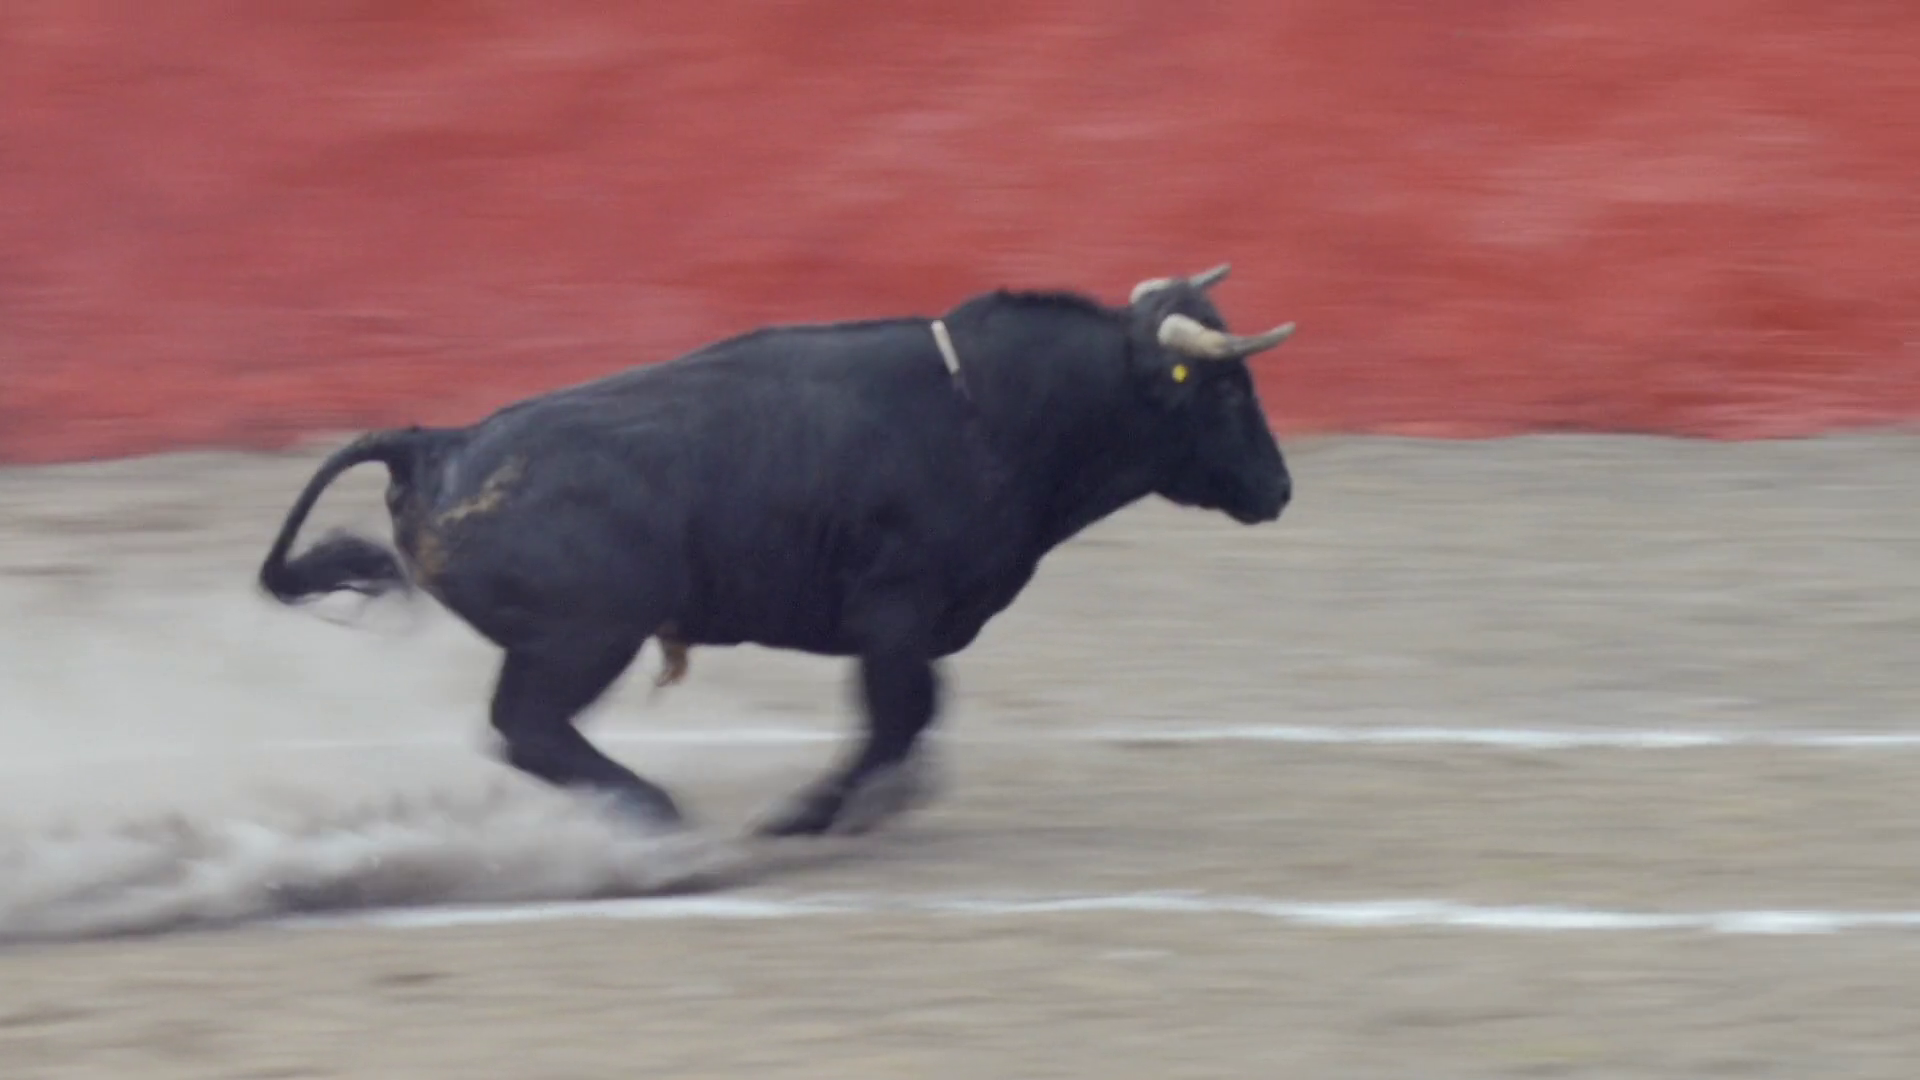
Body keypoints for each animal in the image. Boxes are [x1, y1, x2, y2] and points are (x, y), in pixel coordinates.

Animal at [256, 263, 1296, 838]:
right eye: (1223, 390)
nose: (1280, 489)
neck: (991, 412)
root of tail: (439, 443)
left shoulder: (904, 626)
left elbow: (911, 718)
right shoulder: (895, 614)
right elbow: (900, 715)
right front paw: (807, 812)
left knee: (522, 734)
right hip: (583, 639)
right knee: (526, 727)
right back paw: (657, 814)